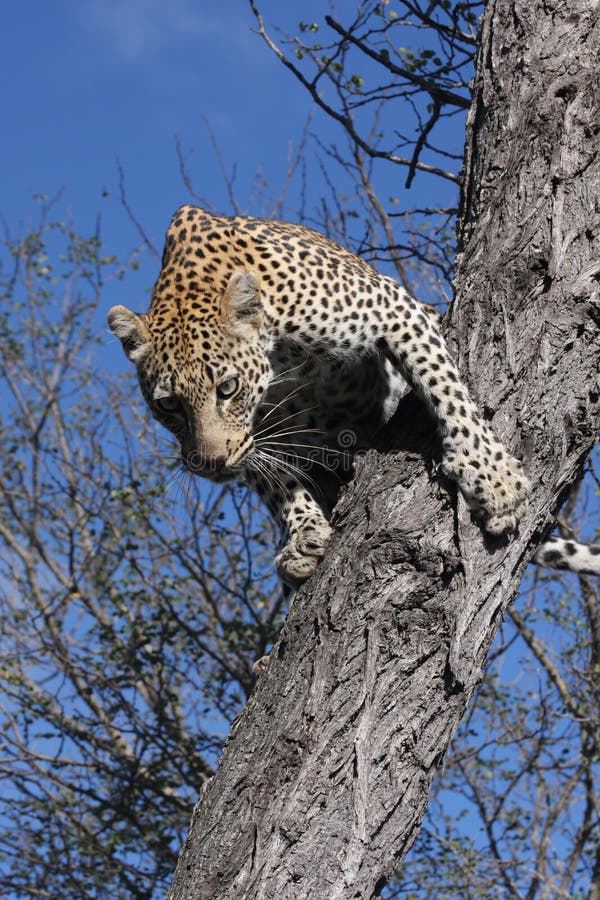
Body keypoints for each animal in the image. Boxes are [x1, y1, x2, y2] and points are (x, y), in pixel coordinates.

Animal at [108, 205, 599, 585]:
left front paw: (493, 477)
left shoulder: (394, 307)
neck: (277, 358)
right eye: (168, 405)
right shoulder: (255, 435)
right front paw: (303, 534)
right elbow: (274, 481)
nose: (210, 465)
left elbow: (445, 385)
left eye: (227, 388)